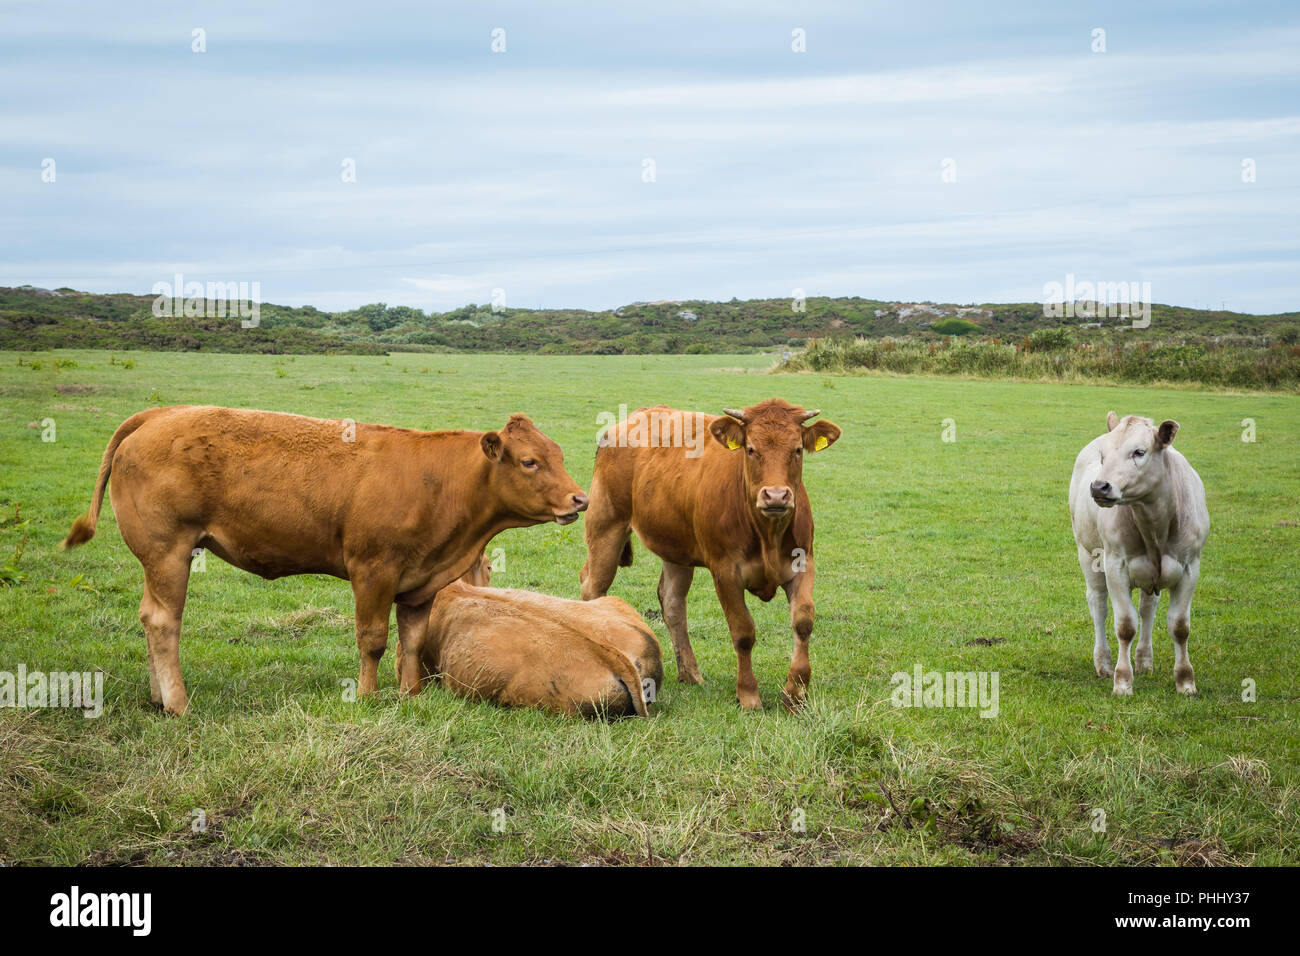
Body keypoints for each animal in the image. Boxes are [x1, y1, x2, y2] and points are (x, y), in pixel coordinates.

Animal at [61, 405, 588, 714]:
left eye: (559, 455)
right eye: (529, 462)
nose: (580, 499)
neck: (440, 483)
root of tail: (157, 415)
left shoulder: (420, 583)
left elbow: (412, 642)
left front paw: (410, 696)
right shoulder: (373, 570)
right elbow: (373, 640)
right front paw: (369, 697)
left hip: (160, 559)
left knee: (149, 618)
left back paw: (157, 697)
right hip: (167, 551)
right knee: (163, 621)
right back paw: (178, 704)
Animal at [580, 399, 841, 711]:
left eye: (798, 449)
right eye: (751, 449)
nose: (776, 496)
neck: (768, 534)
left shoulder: (804, 564)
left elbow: (803, 622)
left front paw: (795, 693)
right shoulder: (725, 572)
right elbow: (743, 632)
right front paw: (748, 694)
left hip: (676, 548)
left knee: (672, 603)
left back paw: (690, 674)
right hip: (605, 527)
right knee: (593, 588)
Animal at [1069, 411, 1209, 696]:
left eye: (1139, 452)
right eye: (1103, 454)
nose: (1099, 486)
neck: (1155, 524)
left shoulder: (1190, 566)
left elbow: (1180, 626)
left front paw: (1185, 681)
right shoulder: (1115, 565)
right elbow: (1125, 625)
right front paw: (1122, 682)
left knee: (1148, 608)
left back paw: (1145, 661)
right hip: (1087, 553)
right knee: (1098, 604)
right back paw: (1104, 663)